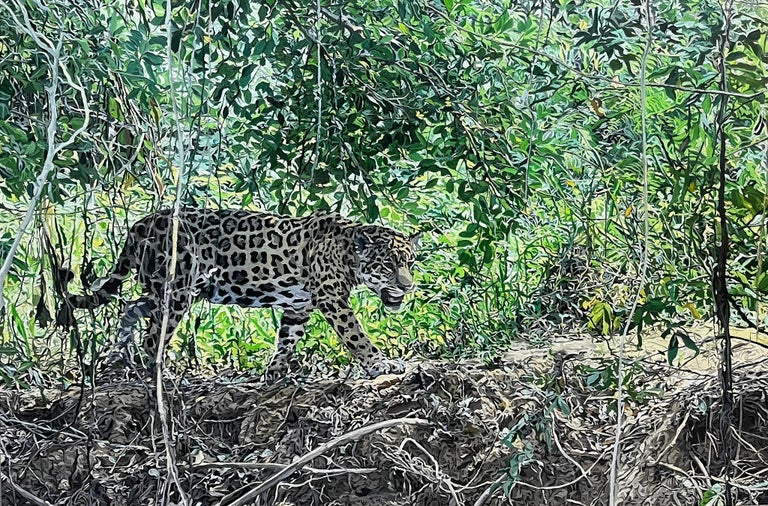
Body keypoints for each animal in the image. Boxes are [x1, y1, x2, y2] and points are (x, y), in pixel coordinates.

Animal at [59, 208, 420, 378]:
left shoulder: (299, 305)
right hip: (177, 290)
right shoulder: (331, 299)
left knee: (131, 307)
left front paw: (274, 373)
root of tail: (139, 224)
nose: (408, 286)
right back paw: (161, 375)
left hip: (167, 290)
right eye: (387, 265)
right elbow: (356, 335)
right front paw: (380, 365)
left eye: (411, 262)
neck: (347, 252)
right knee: (152, 338)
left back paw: (119, 355)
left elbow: (287, 339)